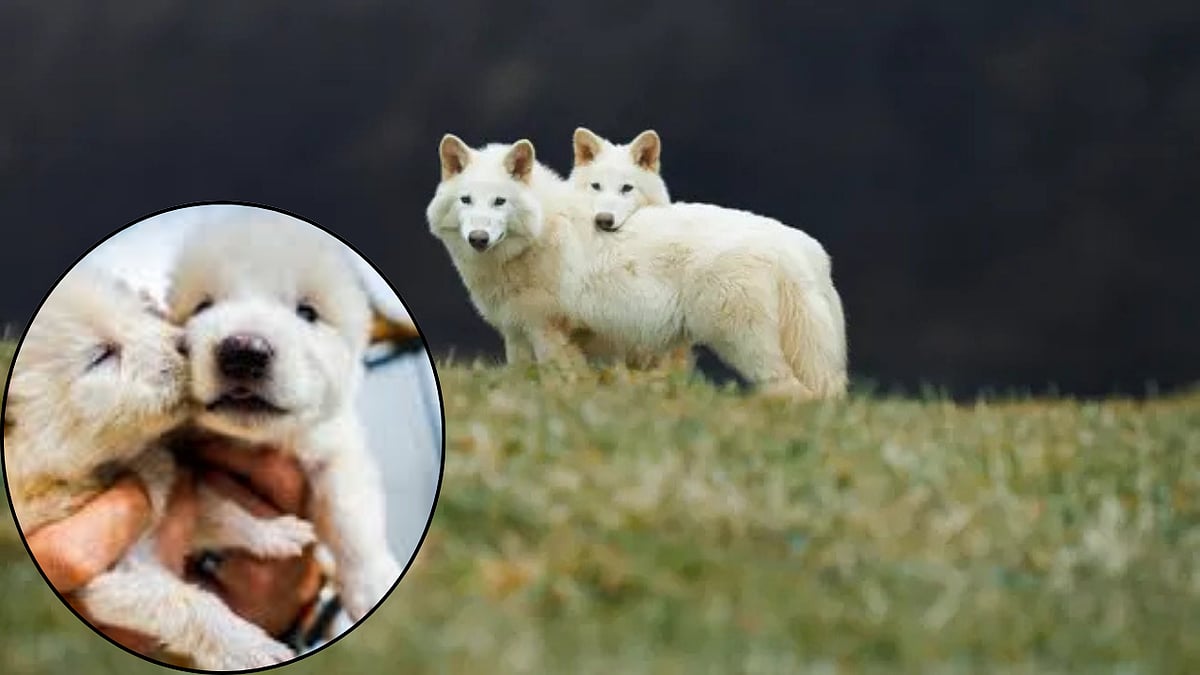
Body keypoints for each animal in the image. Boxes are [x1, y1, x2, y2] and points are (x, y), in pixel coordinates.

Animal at [3, 266, 303, 669]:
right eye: (101, 355)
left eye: (142, 312)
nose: (189, 343)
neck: (115, 461)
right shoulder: (105, 575)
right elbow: (184, 602)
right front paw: (248, 646)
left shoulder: (173, 489)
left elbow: (221, 511)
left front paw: (275, 531)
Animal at [167, 214, 402, 624]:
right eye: (202, 306)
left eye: (307, 312)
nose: (244, 352)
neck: (256, 440)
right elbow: (214, 508)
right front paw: (271, 534)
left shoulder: (335, 449)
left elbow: (351, 516)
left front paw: (372, 583)